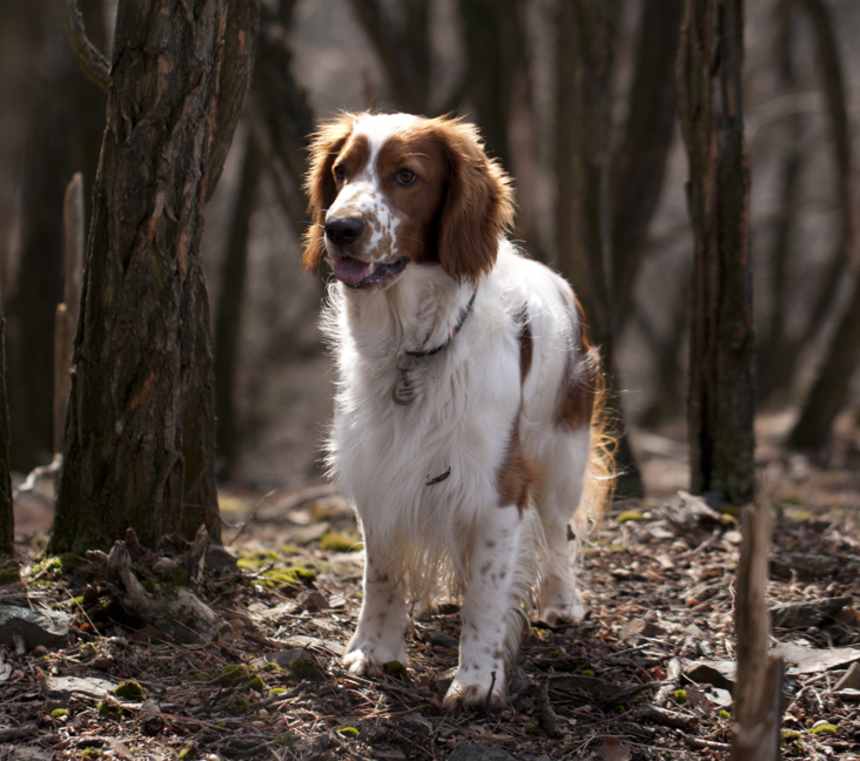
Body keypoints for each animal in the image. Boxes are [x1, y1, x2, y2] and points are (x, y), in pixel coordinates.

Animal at [303, 112, 613, 709]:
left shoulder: (497, 486)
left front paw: (477, 679)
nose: (339, 228)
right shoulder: (378, 471)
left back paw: (562, 602)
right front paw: (374, 650)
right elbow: (381, 574)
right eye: (340, 171)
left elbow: (488, 593)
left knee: (559, 530)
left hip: (562, 450)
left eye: (406, 176)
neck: (414, 348)